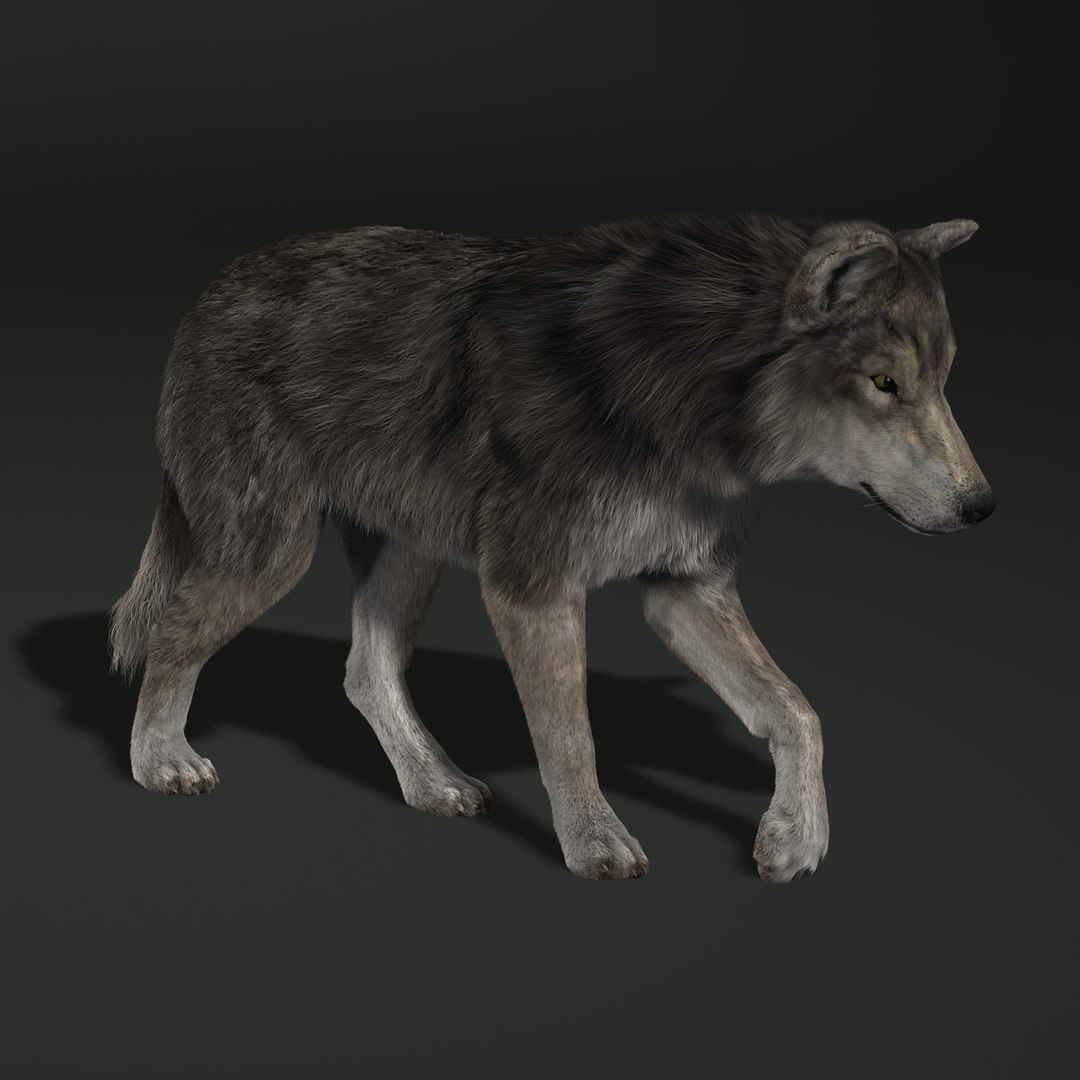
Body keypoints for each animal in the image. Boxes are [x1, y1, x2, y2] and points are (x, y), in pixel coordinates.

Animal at [109, 212, 994, 882]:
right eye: (884, 384)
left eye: (944, 378)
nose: (984, 506)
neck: (677, 391)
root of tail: (214, 289)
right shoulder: (530, 587)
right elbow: (572, 737)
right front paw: (596, 844)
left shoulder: (686, 590)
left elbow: (799, 712)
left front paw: (794, 839)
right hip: (273, 552)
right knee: (173, 629)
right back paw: (161, 763)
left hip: (410, 554)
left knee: (364, 671)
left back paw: (433, 784)